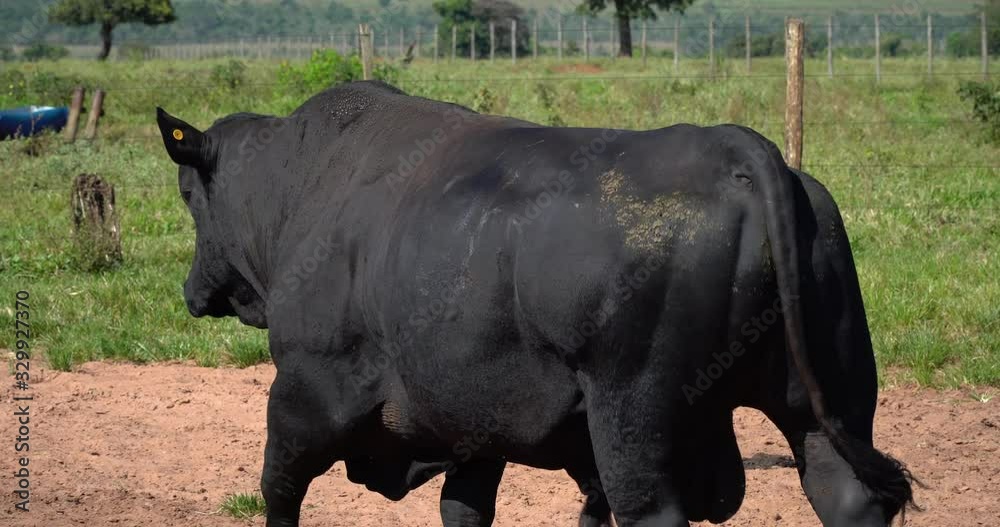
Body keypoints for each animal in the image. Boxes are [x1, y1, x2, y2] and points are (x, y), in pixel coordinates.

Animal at [156, 80, 914, 527]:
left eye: (189, 196)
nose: (192, 291)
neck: (304, 185)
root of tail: (736, 148)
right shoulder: (472, 418)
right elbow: (463, 509)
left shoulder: (306, 392)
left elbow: (277, 488)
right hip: (829, 400)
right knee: (846, 494)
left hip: (635, 422)